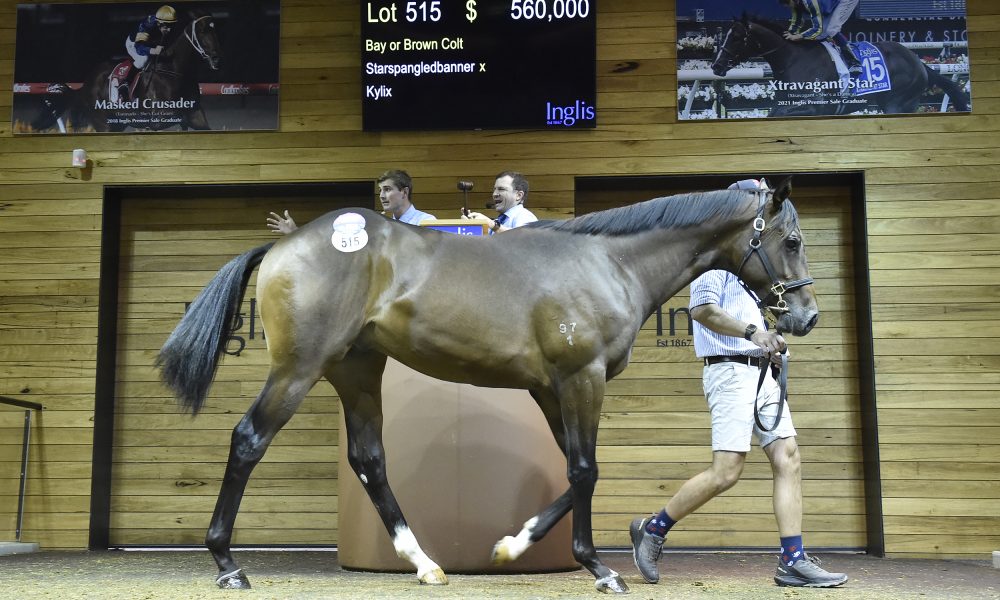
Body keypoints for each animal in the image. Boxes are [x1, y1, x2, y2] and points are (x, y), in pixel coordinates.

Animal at [32, 9, 221, 132]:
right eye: (202, 31)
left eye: (215, 30)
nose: (216, 58)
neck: (174, 71)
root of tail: (85, 85)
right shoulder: (158, 120)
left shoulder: (196, 116)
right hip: (104, 124)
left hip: (117, 123)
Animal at [156, 178, 818, 594]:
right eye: (791, 240)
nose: (804, 318)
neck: (609, 263)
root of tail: (287, 242)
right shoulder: (580, 378)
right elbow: (586, 471)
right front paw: (599, 569)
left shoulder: (550, 388)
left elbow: (575, 469)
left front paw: (511, 545)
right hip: (300, 367)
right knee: (248, 440)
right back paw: (227, 564)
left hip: (357, 368)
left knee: (369, 459)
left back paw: (424, 564)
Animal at [711, 16, 970, 117]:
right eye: (724, 35)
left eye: (736, 38)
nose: (716, 65)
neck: (793, 58)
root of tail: (920, 63)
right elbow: (773, 113)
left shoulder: (815, 107)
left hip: (898, 104)